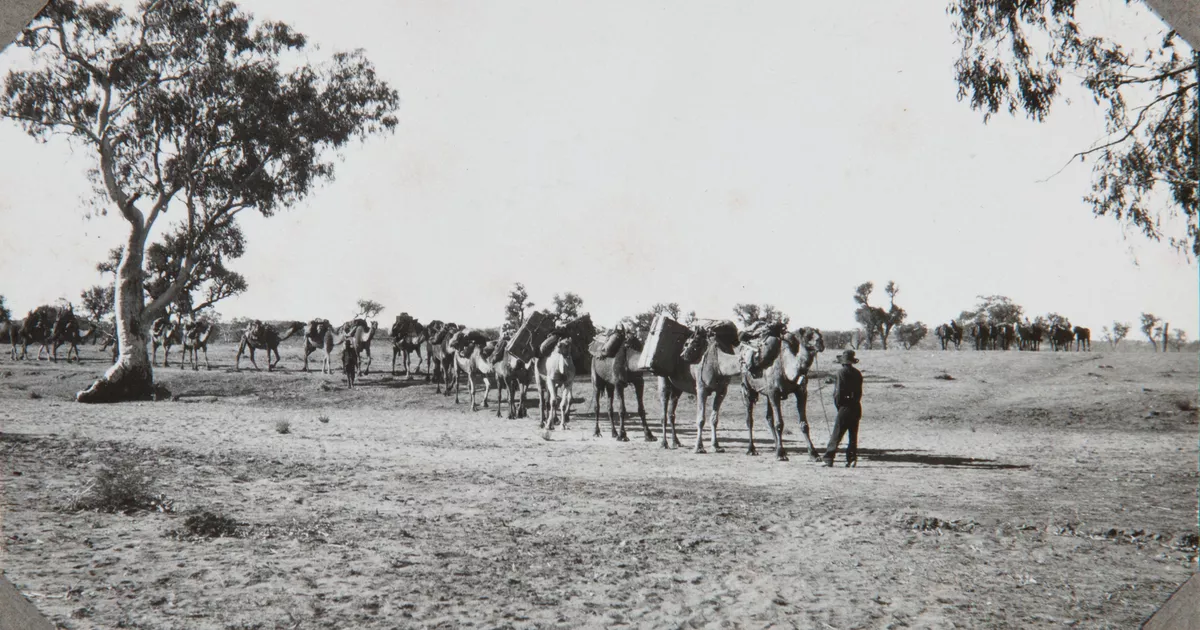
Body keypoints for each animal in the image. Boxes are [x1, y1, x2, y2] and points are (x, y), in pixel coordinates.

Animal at [740, 327, 825, 461]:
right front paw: (780, 454)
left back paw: (776, 446)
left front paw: (814, 454)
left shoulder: (801, 392)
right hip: (748, 388)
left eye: (819, 334)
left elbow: (804, 424)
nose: (820, 343)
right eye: (807, 336)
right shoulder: (774, 393)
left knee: (769, 417)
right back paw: (751, 449)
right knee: (750, 419)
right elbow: (779, 423)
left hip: (767, 394)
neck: (787, 368)